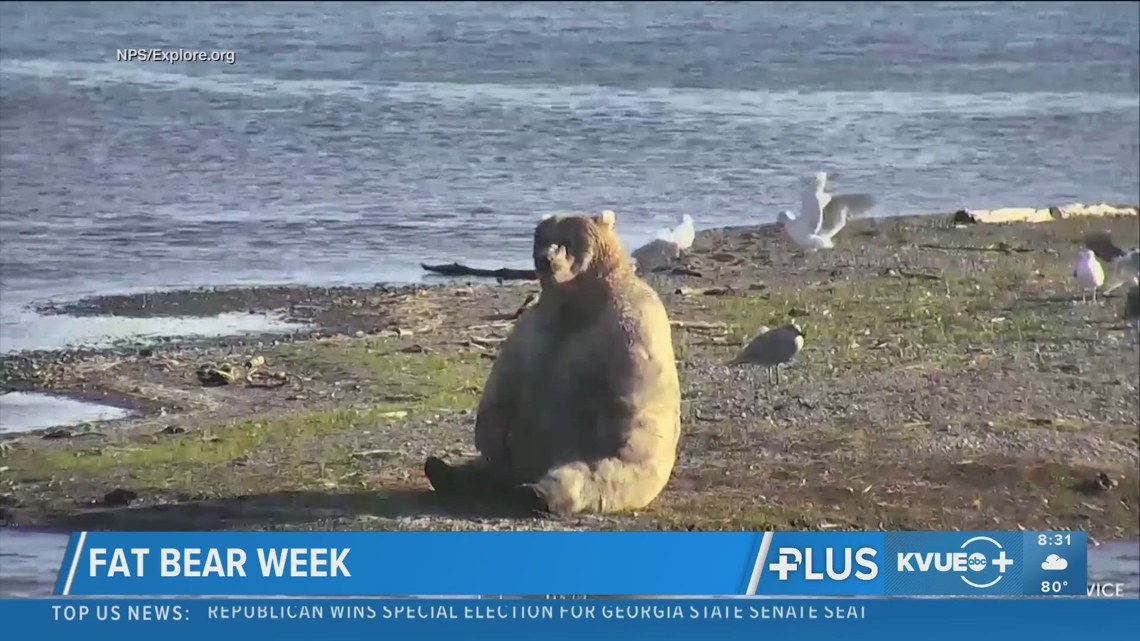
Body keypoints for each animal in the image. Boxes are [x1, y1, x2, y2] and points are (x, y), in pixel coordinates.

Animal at [424, 209, 683, 516]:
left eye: (567, 240)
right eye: (542, 238)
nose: (545, 259)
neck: (575, 304)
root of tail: (524, 473)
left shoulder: (629, 327)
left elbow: (628, 392)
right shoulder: (534, 327)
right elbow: (503, 383)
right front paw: (487, 440)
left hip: (621, 469)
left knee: (588, 474)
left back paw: (536, 492)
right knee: (488, 468)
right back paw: (442, 470)